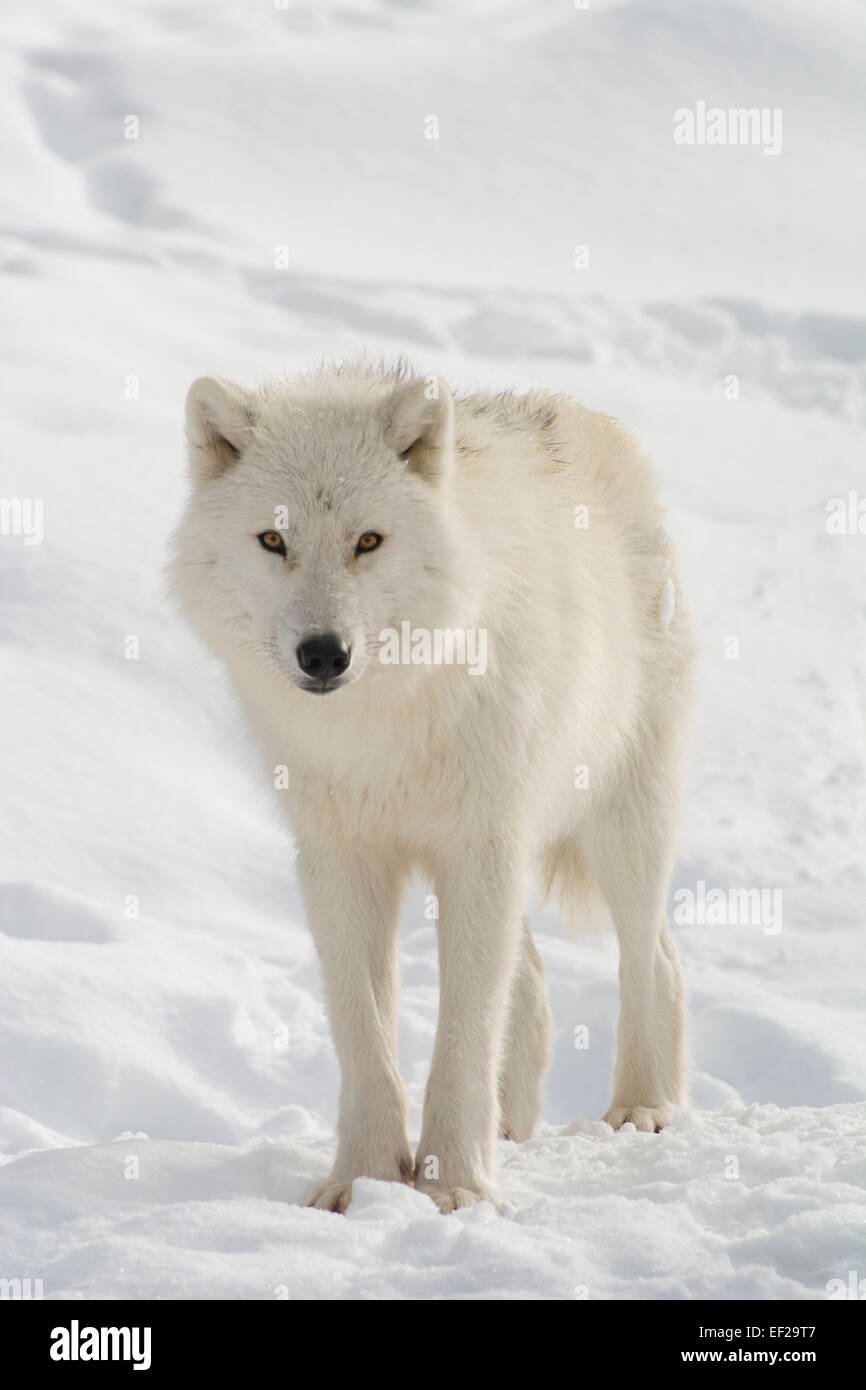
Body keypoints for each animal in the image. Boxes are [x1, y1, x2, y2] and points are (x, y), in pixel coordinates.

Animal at [169, 361, 694, 1214]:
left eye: (368, 541)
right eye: (273, 540)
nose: (324, 654)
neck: (380, 722)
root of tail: (584, 416)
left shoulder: (480, 847)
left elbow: (462, 1034)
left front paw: (457, 1190)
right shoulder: (339, 861)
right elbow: (364, 1032)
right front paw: (365, 1181)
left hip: (620, 828)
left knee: (654, 962)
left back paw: (642, 1110)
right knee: (535, 981)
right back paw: (512, 1130)